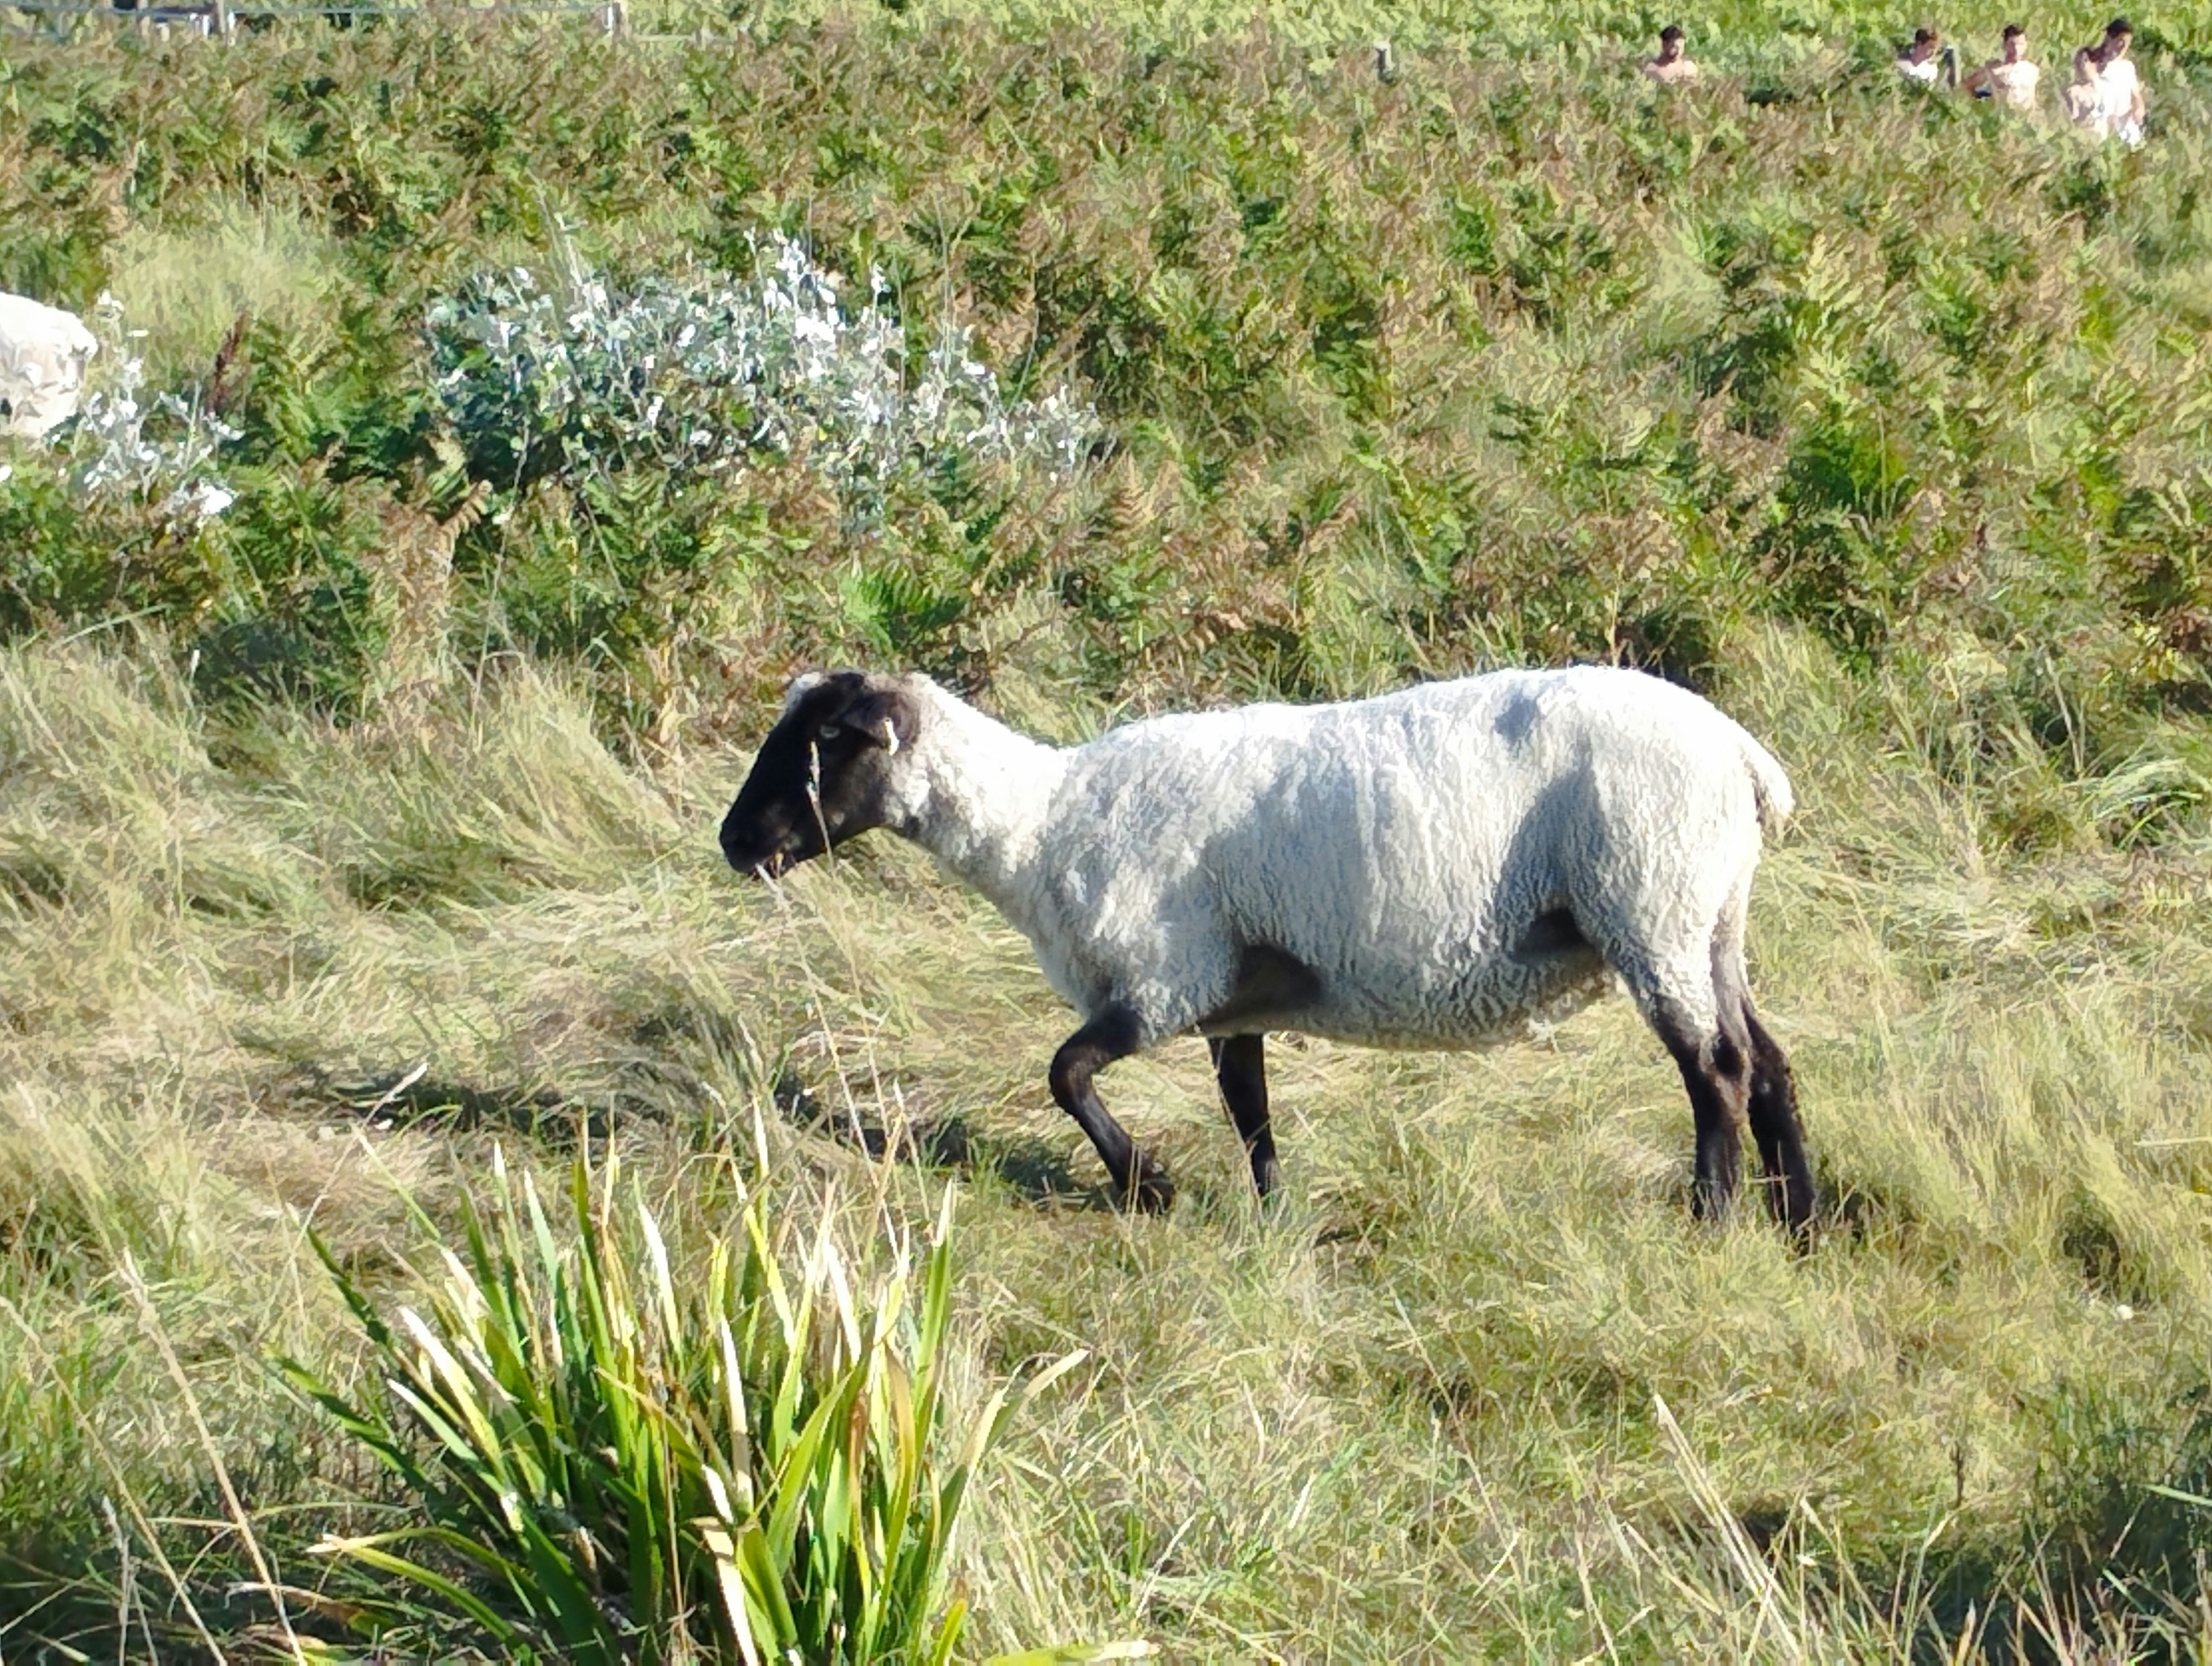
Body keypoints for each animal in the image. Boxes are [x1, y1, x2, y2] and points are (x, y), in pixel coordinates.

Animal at [719, 666, 1813, 1231]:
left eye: (823, 741)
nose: (734, 842)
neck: (1039, 825)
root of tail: (1744, 757)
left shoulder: (1167, 975)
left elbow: (1065, 1073)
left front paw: (1147, 1187)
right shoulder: (1228, 1001)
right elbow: (1249, 1113)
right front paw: (1274, 1215)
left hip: (1650, 897)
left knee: (1716, 1067)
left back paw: (1713, 1216)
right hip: (1710, 914)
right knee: (1768, 1063)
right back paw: (1798, 1219)